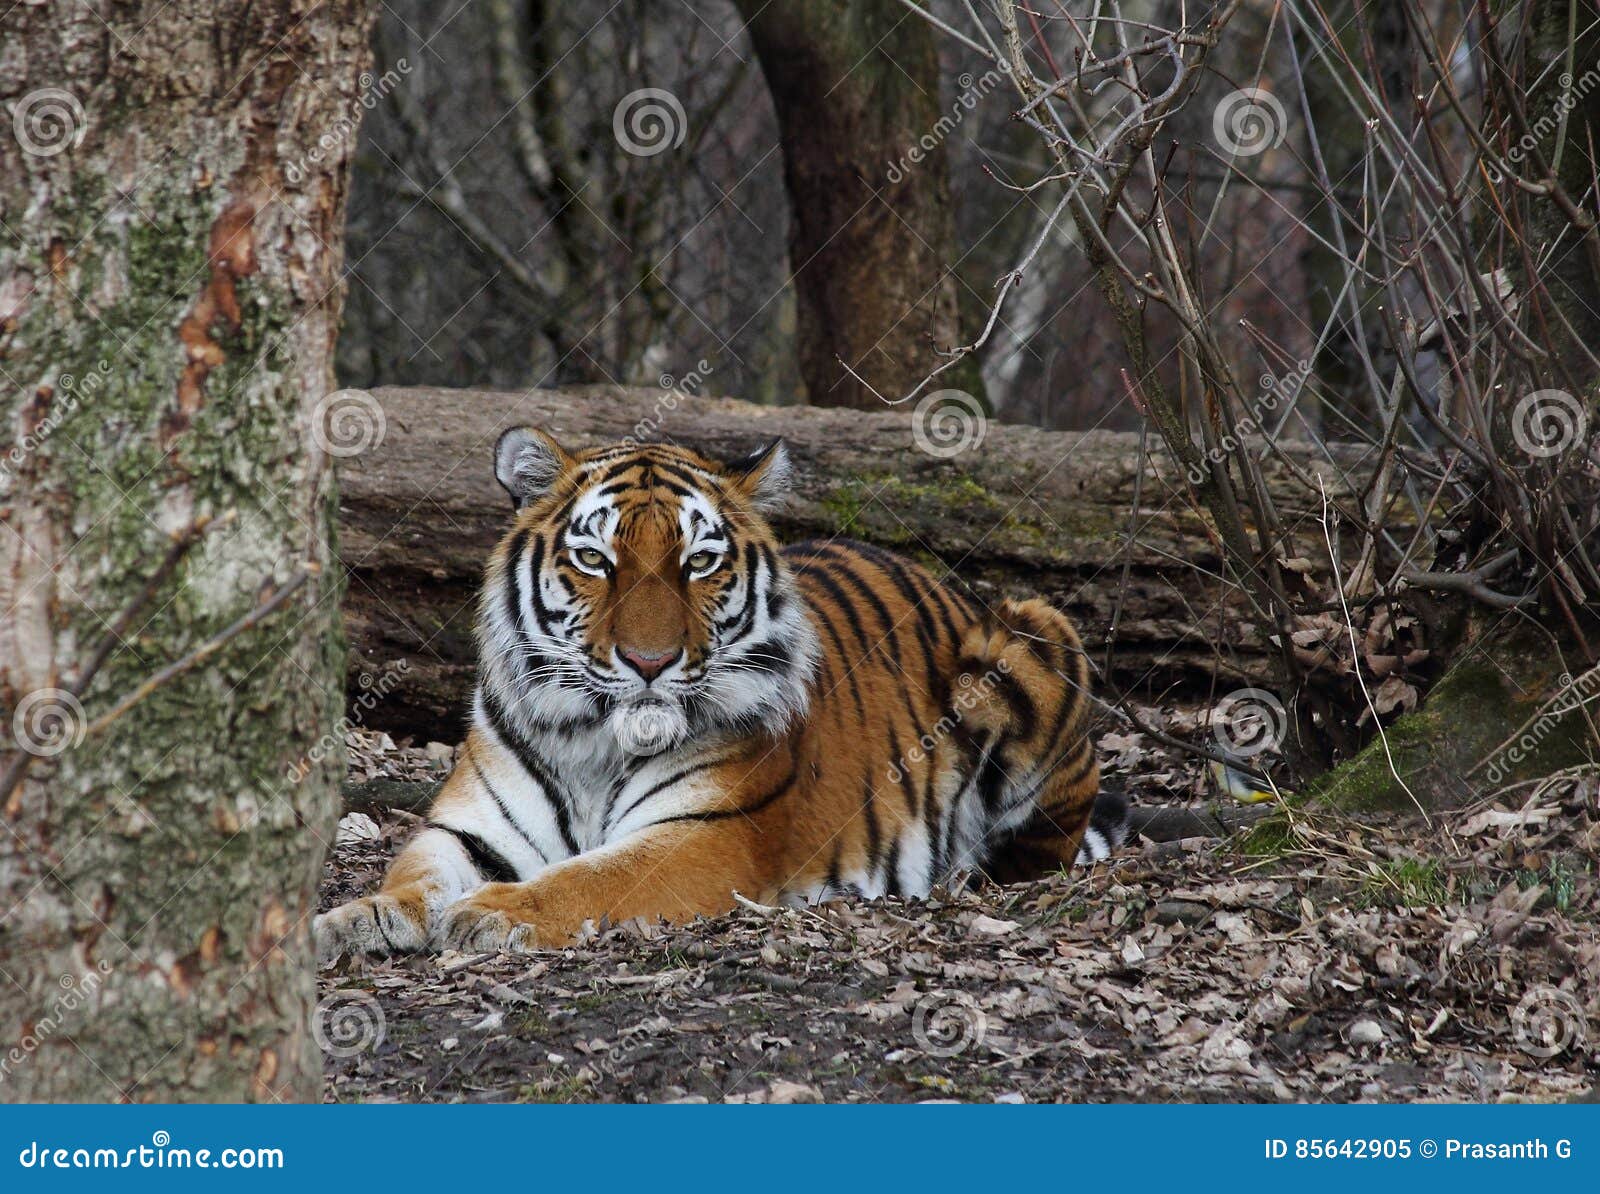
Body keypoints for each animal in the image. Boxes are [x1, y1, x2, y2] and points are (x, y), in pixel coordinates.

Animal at [314, 427, 1129, 959]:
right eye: (594, 559)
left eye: (699, 562)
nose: (649, 661)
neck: (593, 742)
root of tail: (951, 587)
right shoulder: (467, 830)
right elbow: (414, 872)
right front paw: (356, 919)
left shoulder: (705, 835)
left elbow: (587, 879)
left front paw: (491, 913)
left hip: (1032, 635)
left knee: (1043, 845)